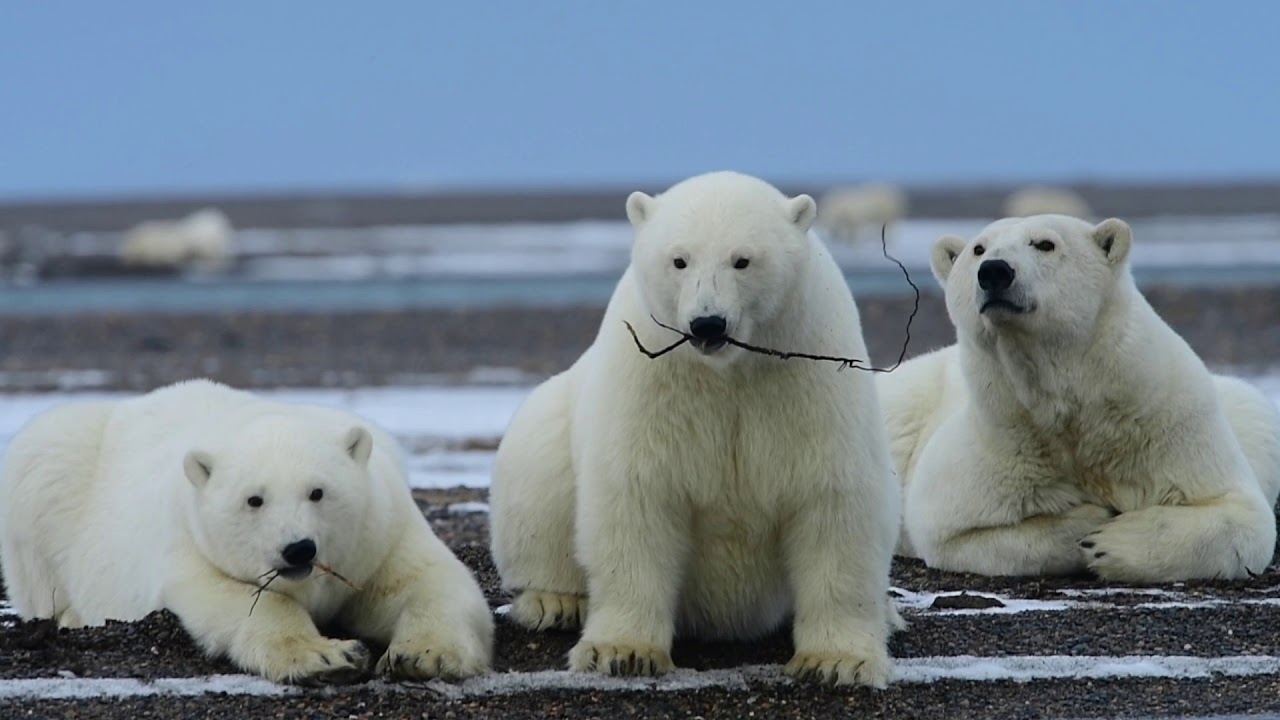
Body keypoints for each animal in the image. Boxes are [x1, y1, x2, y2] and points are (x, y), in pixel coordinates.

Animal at [0, 379, 494, 685]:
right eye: (254, 499)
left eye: (318, 491)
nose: (298, 549)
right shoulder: (191, 541)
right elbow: (238, 601)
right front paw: (329, 656)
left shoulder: (380, 534)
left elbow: (426, 581)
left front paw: (421, 656)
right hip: (44, 474)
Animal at [489, 171, 902, 688]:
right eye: (679, 259)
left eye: (742, 260)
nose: (708, 323)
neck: (728, 370)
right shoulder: (653, 383)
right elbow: (638, 496)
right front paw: (622, 651)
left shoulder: (808, 374)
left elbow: (833, 499)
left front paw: (836, 661)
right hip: (547, 427)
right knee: (537, 482)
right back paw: (554, 601)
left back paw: (890, 614)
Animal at [879, 214, 1280, 581]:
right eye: (978, 249)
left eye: (1045, 243)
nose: (994, 271)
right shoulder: (998, 440)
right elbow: (953, 530)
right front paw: (1087, 525)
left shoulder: (1169, 420)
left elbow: (1241, 515)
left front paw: (1110, 543)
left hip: (1249, 409)